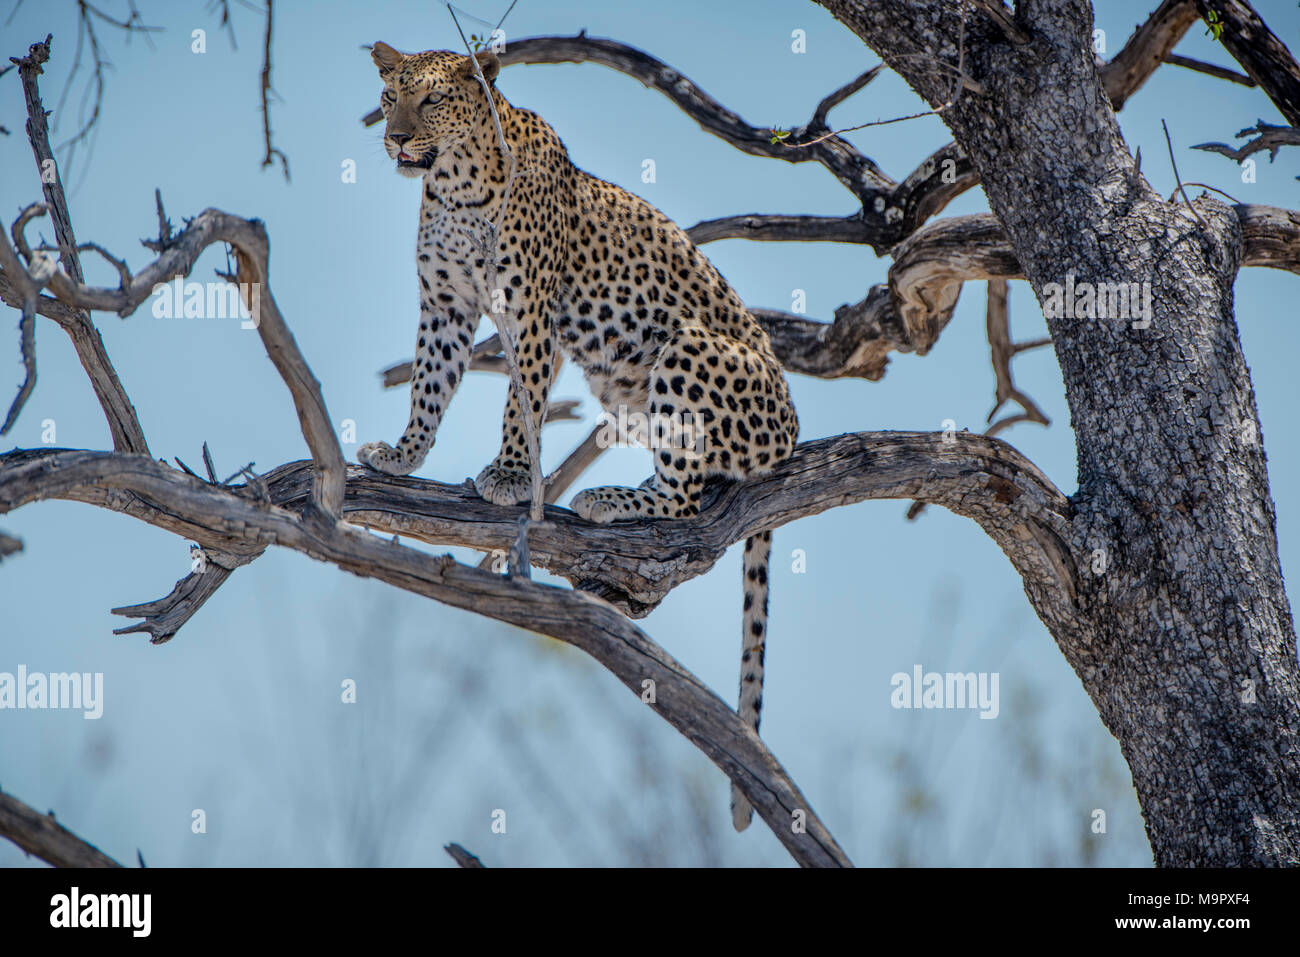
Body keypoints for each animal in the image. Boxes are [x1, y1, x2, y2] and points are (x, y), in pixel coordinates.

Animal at [358, 43, 799, 831]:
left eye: (431, 100)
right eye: (387, 96)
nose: (398, 138)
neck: (452, 183)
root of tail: (793, 429)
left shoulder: (531, 310)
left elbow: (521, 404)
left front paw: (508, 476)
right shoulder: (445, 303)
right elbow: (428, 385)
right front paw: (403, 455)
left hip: (686, 348)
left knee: (684, 498)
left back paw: (610, 499)